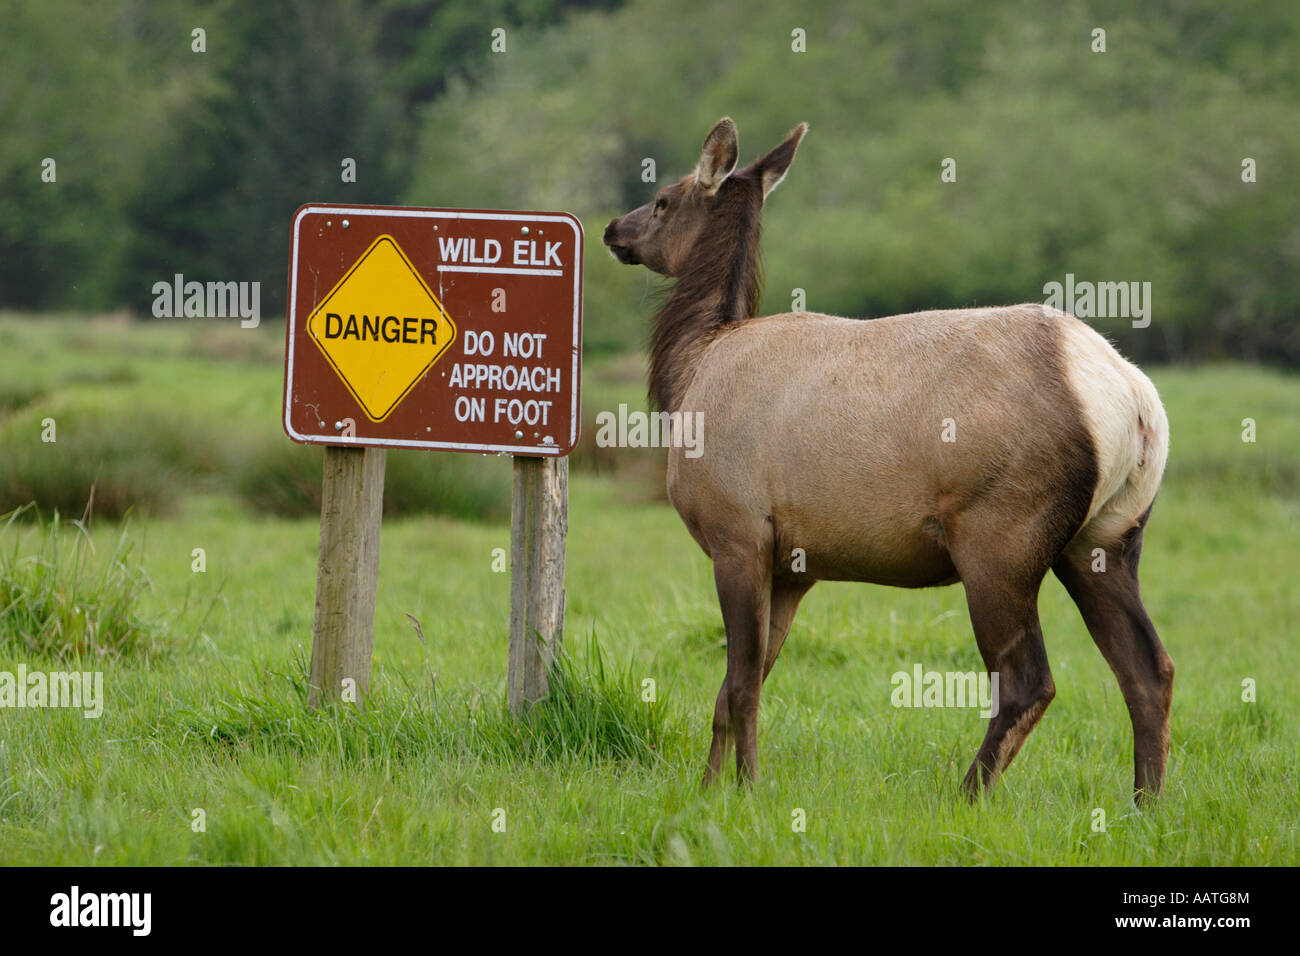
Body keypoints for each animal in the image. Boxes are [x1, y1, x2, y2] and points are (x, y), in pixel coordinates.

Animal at [603, 117, 1174, 805]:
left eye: (663, 199)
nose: (613, 229)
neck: (690, 374)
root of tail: (1137, 404)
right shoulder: (794, 566)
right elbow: (739, 686)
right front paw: (715, 786)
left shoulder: (737, 531)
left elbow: (739, 685)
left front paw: (743, 788)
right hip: (1108, 535)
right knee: (1149, 668)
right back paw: (1146, 806)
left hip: (1000, 534)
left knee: (1027, 679)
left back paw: (967, 796)